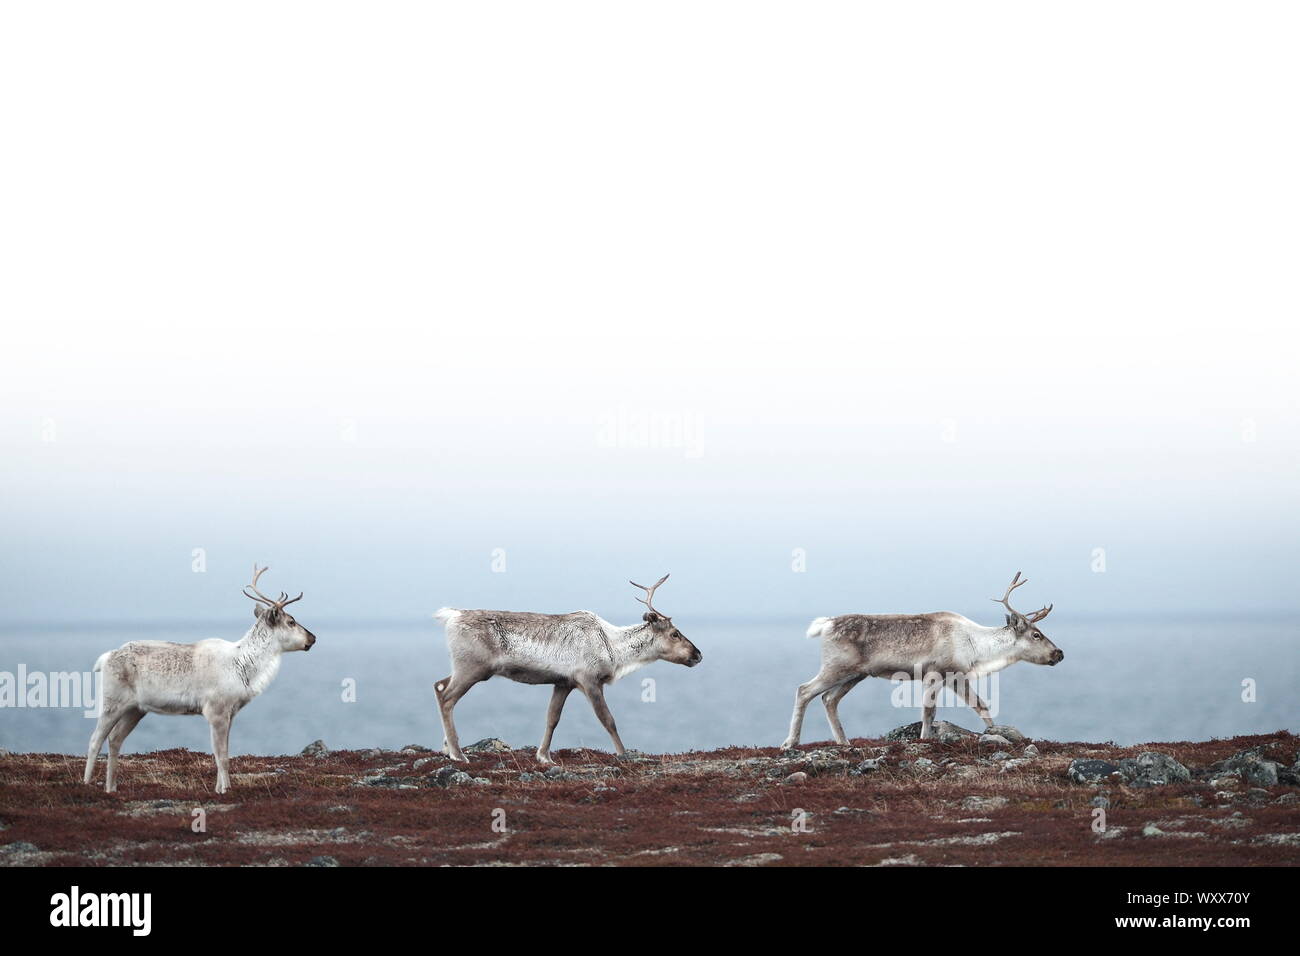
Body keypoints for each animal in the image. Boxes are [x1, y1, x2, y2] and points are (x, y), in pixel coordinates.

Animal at [83, 565, 316, 793]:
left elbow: (223, 754)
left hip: (136, 709)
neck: (244, 667)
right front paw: (226, 790)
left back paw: (111, 788)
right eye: (291, 621)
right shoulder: (216, 710)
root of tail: (104, 658)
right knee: (95, 739)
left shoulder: (231, 713)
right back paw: (86, 784)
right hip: (113, 702)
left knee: (115, 739)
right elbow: (222, 756)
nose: (313, 638)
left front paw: (219, 789)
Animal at [432, 574, 702, 764]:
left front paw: (544, 756)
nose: (698, 654)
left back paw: (448, 748)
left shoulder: (563, 683)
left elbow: (552, 718)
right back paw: (458, 754)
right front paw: (623, 753)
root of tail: (451, 615)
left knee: (439, 685)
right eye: (675, 633)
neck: (612, 647)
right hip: (473, 668)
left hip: (464, 667)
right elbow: (608, 719)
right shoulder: (589, 680)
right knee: (447, 698)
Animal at [781, 571, 1062, 749]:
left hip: (856, 674)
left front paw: (995, 733)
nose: (1059, 653)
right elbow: (929, 712)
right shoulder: (935, 673)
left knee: (829, 699)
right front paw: (925, 739)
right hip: (837, 666)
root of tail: (826, 624)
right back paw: (790, 743)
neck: (976, 646)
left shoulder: (956, 677)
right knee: (804, 690)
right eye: (1036, 634)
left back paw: (843, 741)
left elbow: (981, 705)